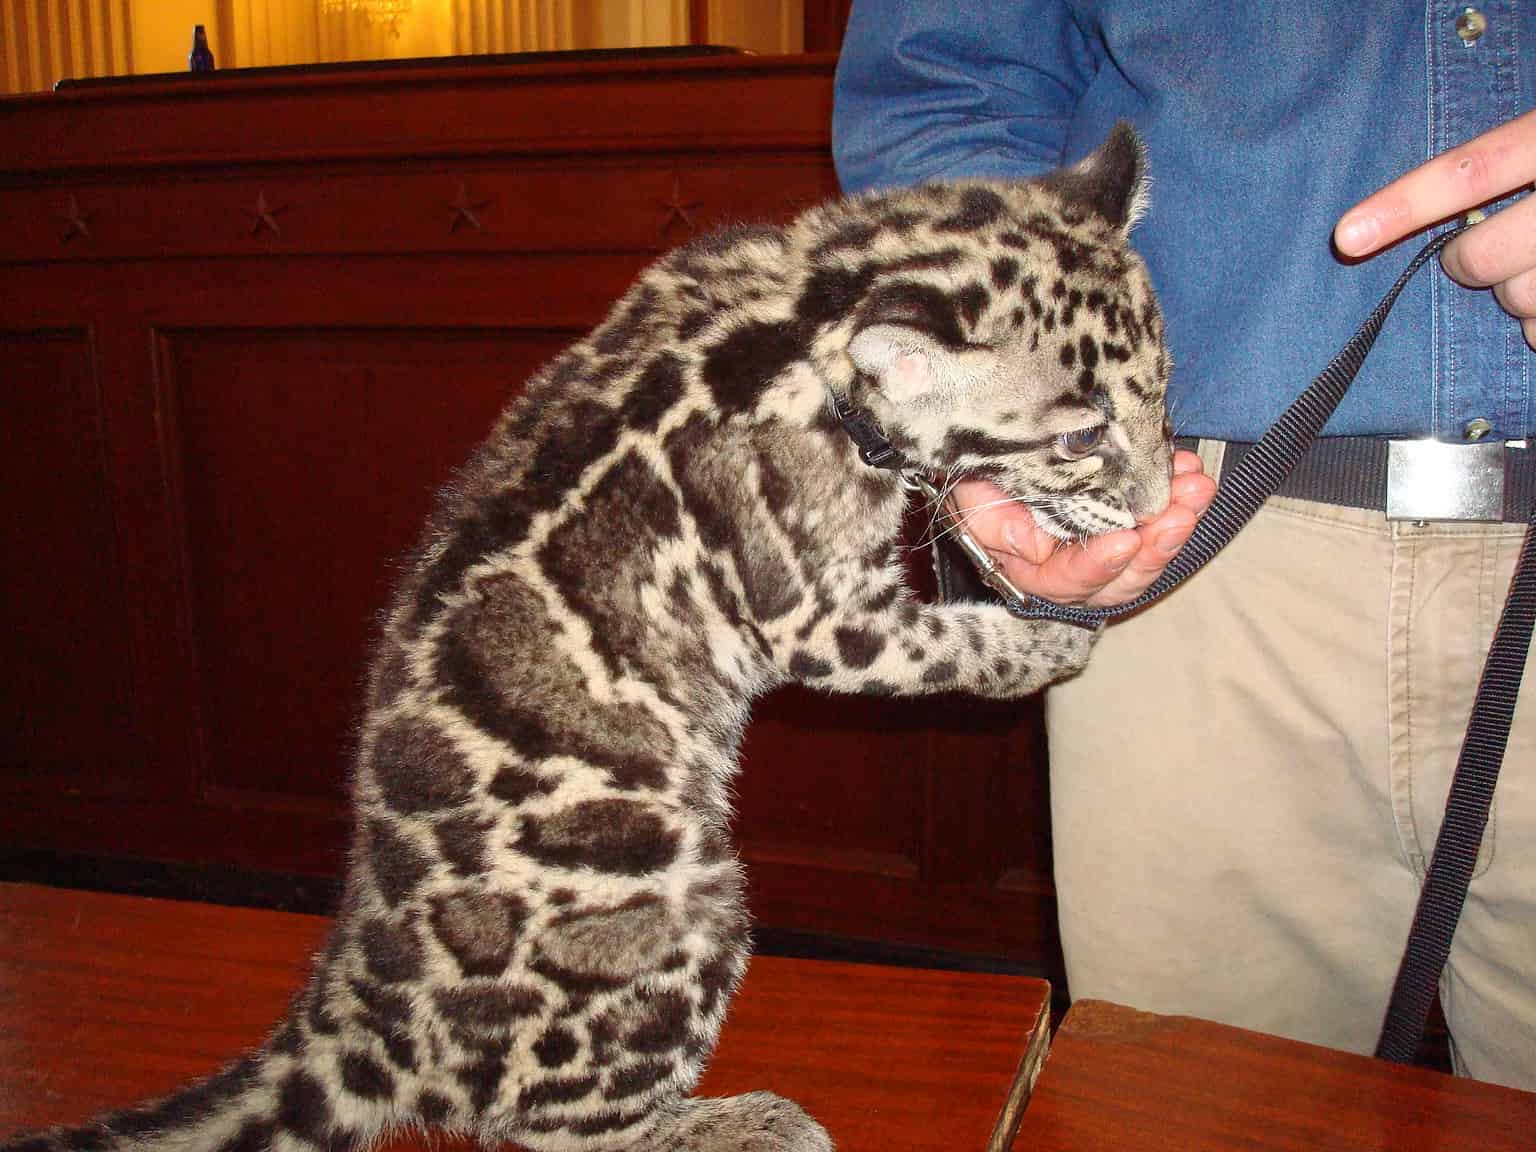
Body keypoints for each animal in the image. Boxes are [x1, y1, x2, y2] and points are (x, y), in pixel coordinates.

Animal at [3, 122, 1170, 1152]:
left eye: (1162, 392)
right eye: (1080, 432)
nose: (1161, 498)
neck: (810, 299)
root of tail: (365, 1001)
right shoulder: (822, 614)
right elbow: (947, 644)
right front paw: (1047, 639)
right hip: (681, 902)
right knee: (554, 1124)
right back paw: (732, 1121)